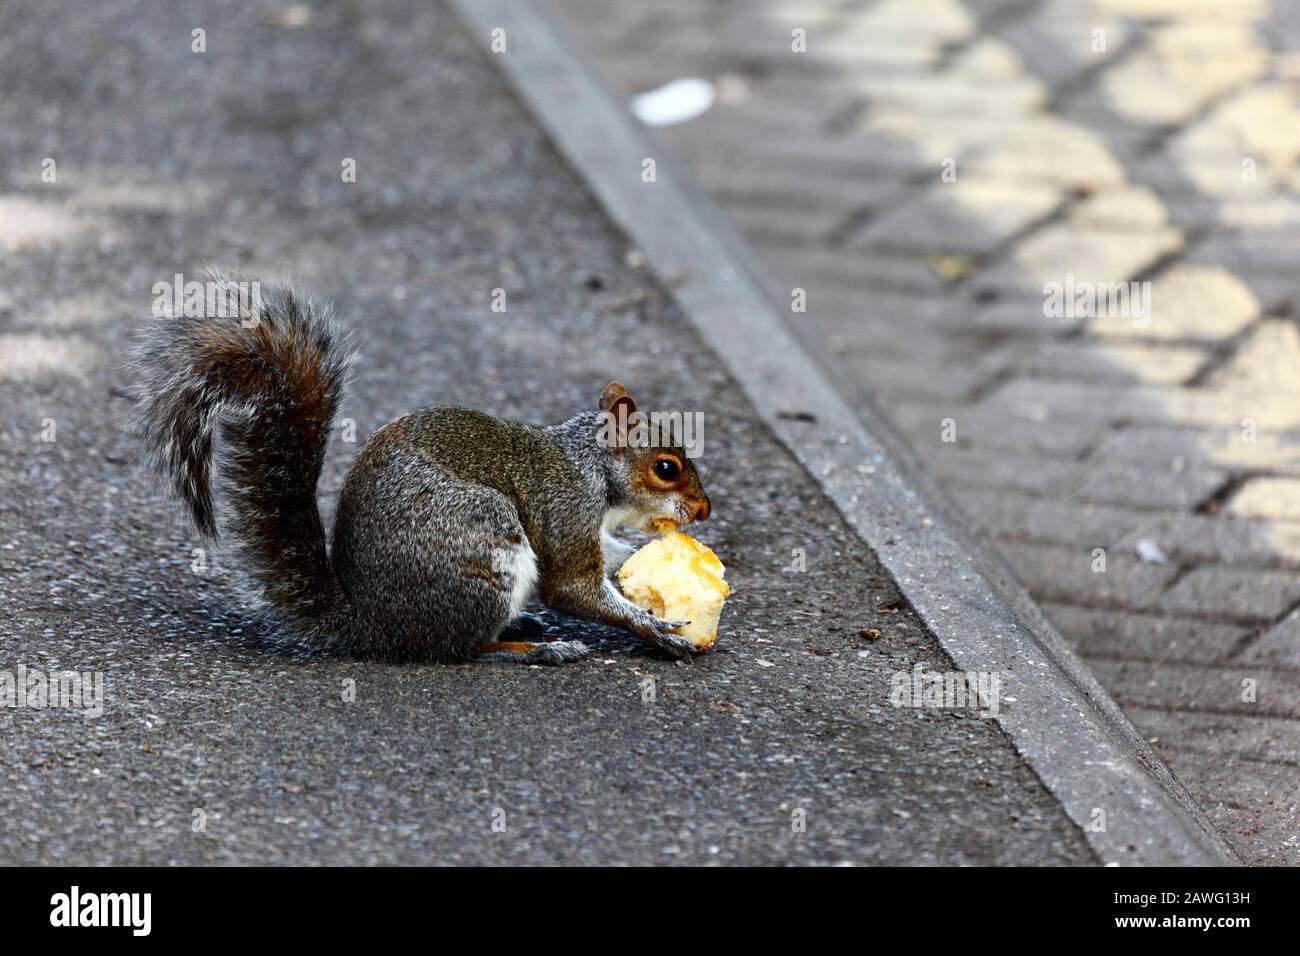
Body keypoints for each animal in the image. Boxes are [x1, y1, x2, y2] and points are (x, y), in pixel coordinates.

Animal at [130, 279, 711, 665]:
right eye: (666, 468)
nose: (704, 510)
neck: (591, 468)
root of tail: (373, 624)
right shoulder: (568, 507)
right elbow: (572, 588)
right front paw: (657, 629)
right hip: (485, 545)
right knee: (465, 646)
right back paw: (534, 648)